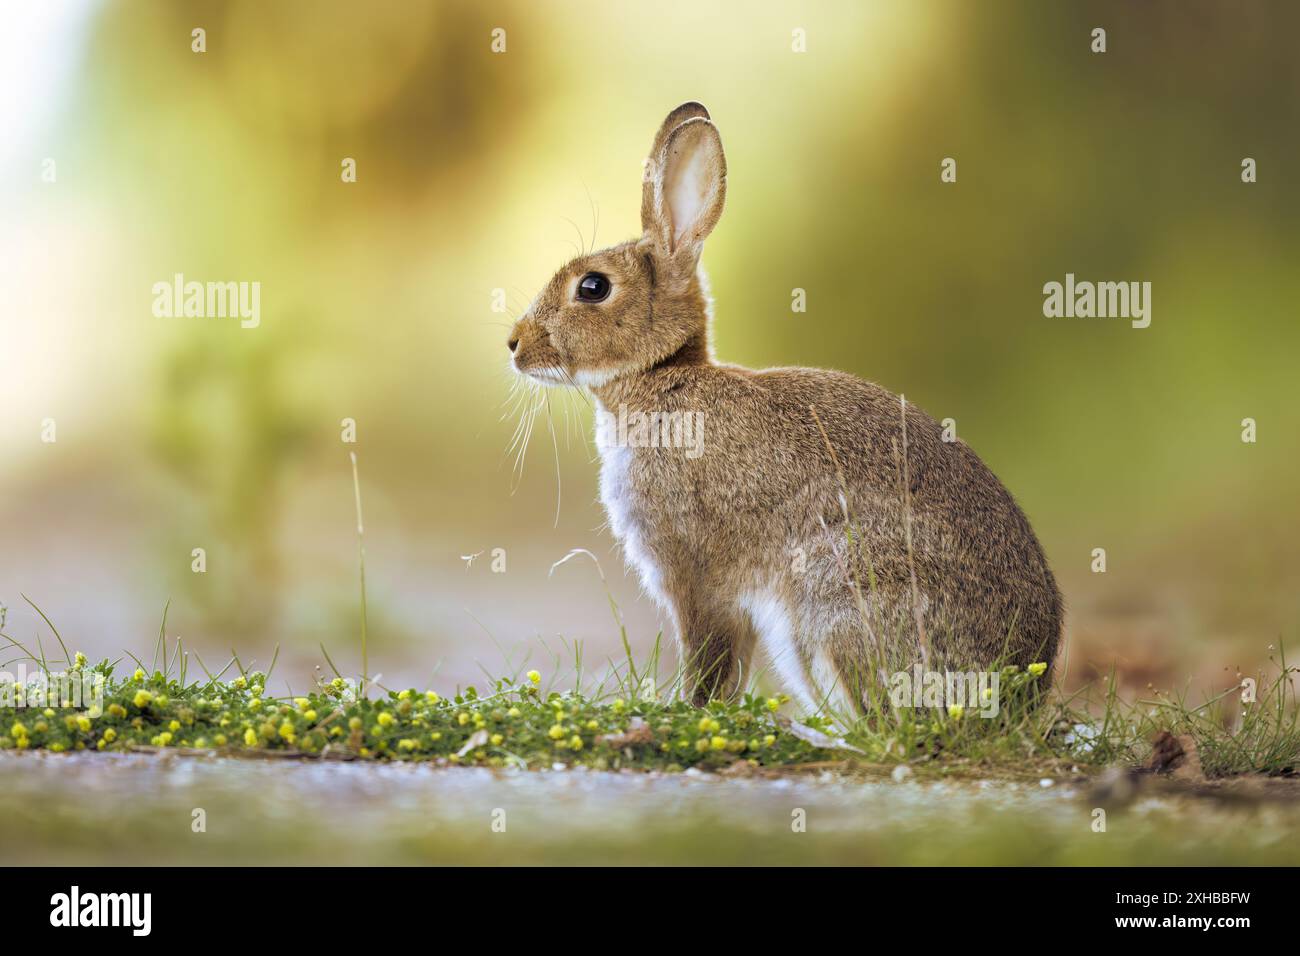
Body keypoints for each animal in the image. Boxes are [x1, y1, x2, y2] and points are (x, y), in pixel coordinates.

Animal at [508, 102, 1061, 716]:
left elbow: (709, 658)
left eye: (593, 287)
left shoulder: (695, 575)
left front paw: (689, 710)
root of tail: (1020, 689)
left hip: (835, 600)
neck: (662, 379)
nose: (513, 344)